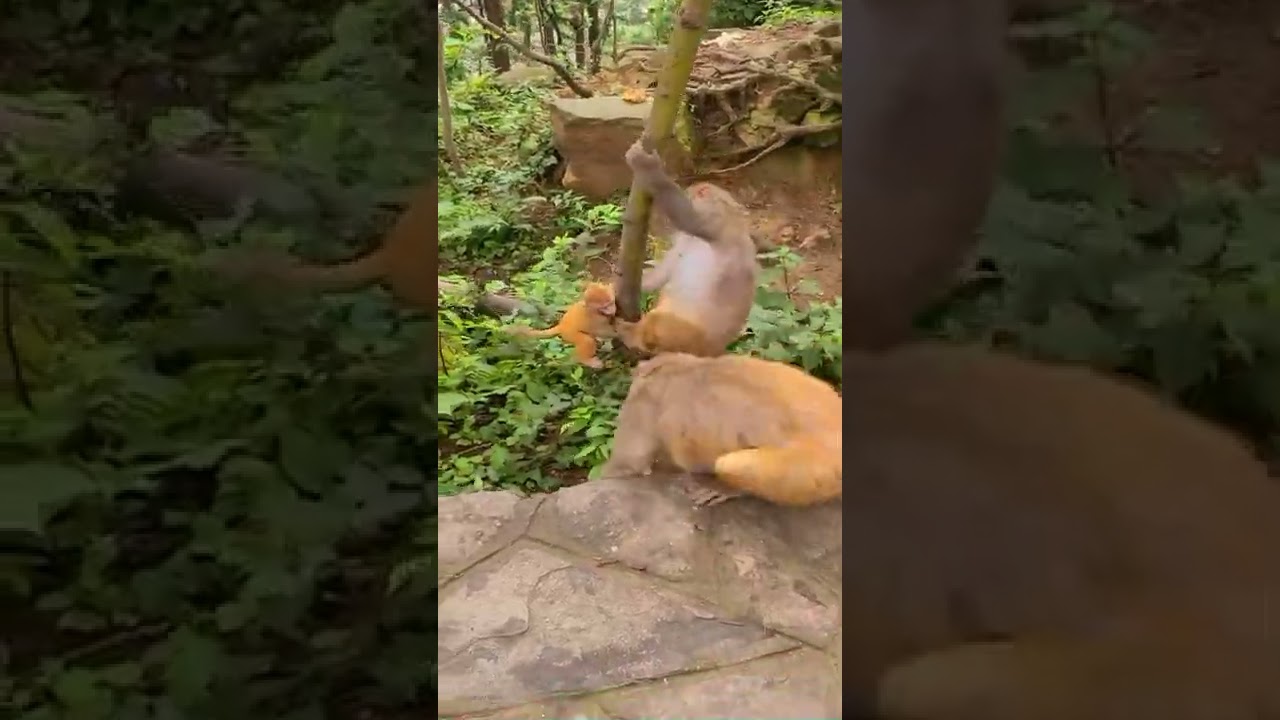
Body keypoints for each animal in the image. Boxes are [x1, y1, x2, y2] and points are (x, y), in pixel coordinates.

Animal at [612, 139, 759, 357]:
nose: (690, 190)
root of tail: (713, 353)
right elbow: (665, 271)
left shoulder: (714, 219)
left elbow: (689, 219)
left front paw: (646, 166)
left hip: (687, 335)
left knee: (661, 325)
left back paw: (631, 334)